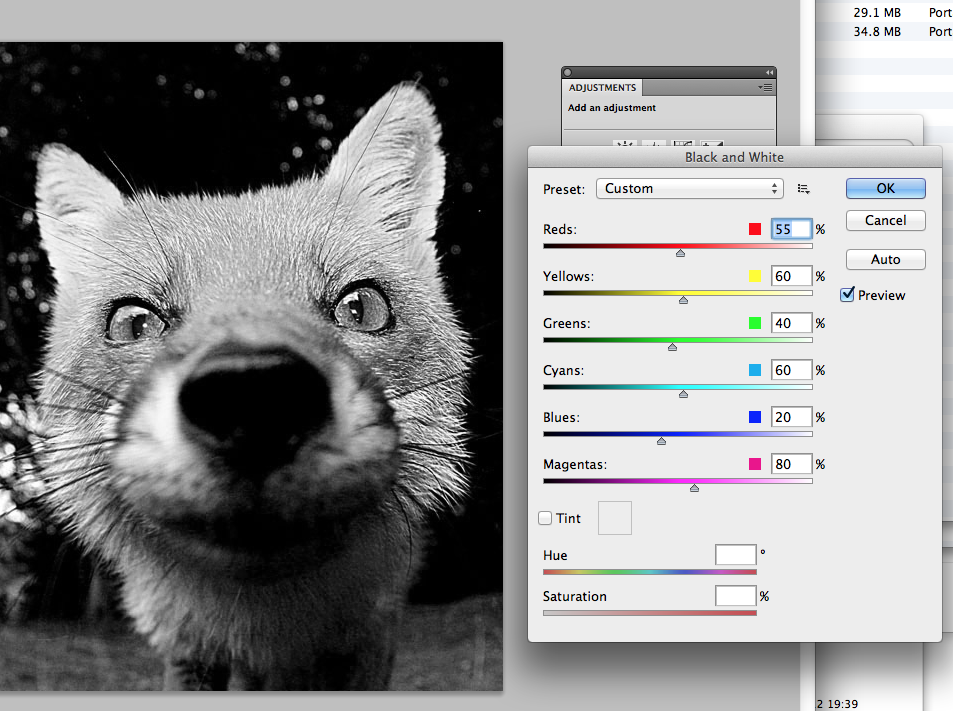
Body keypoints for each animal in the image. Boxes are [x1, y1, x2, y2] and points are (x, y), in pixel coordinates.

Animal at [30, 82, 469, 690]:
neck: (265, 631)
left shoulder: (367, 639)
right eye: (134, 323)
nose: (253, 396)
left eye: (361, 308)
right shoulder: (187, 650)